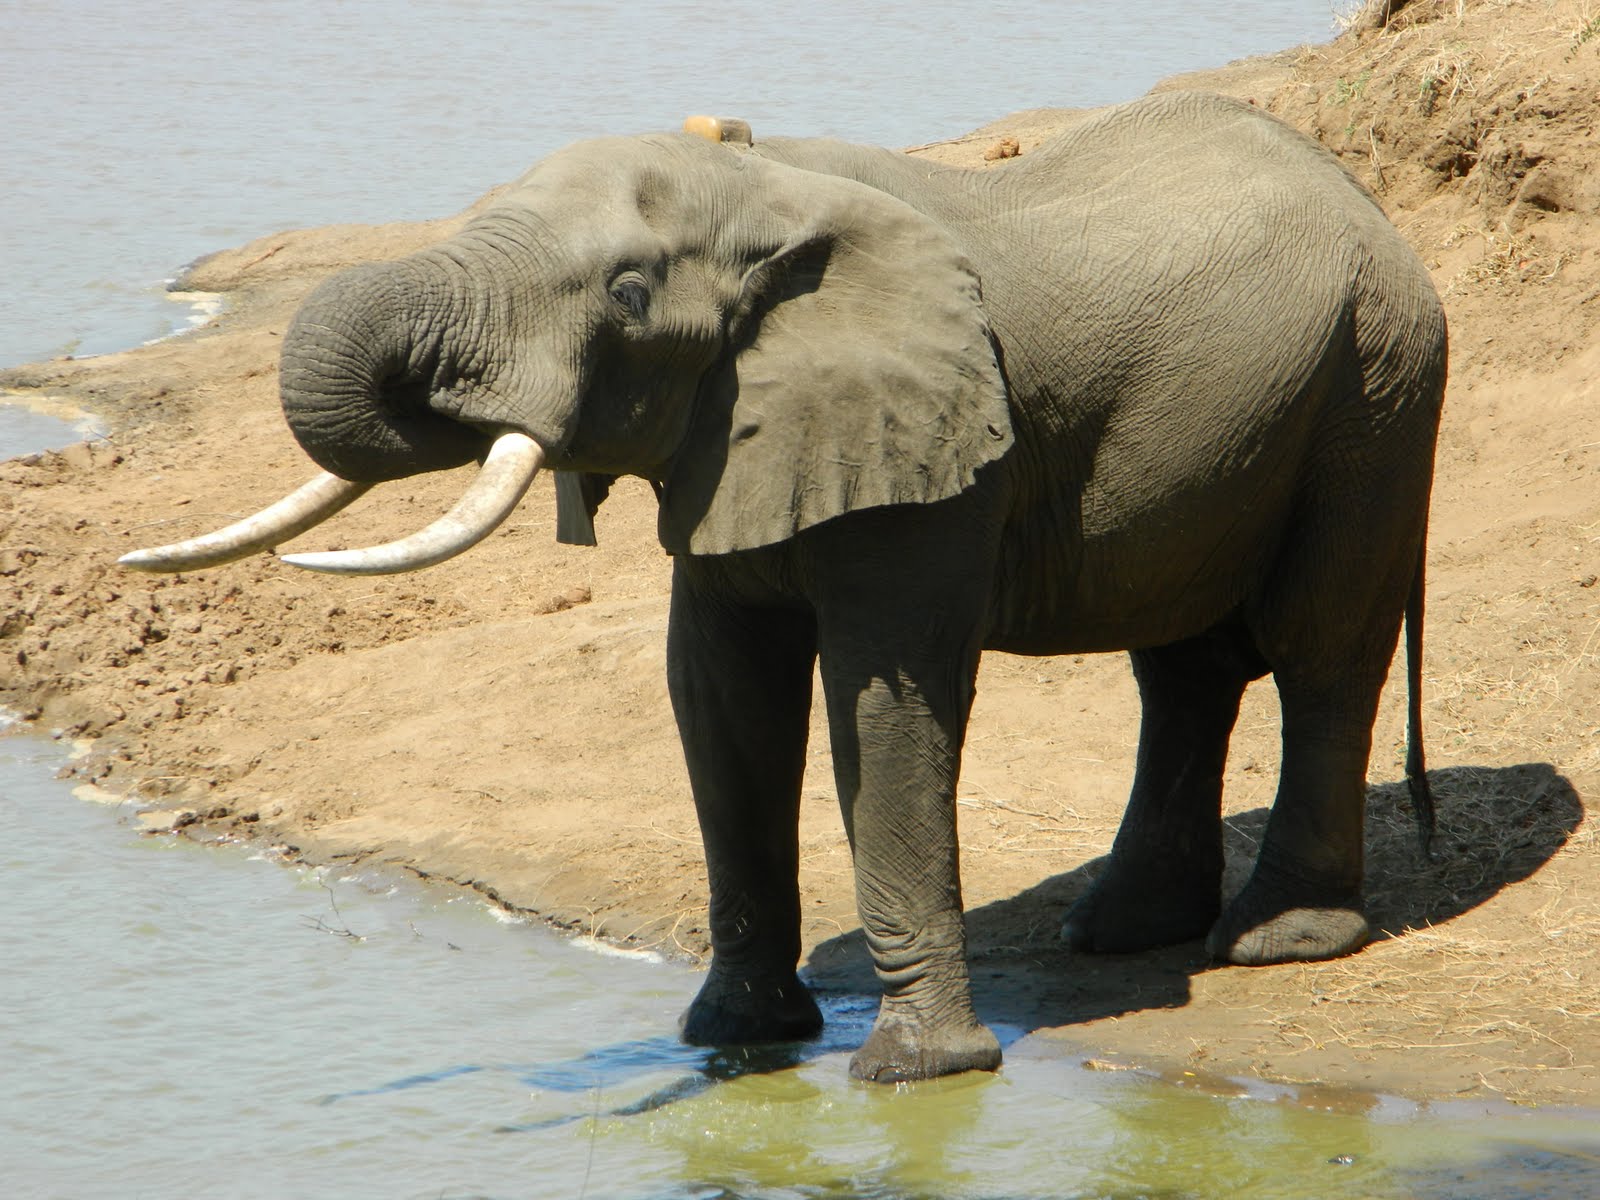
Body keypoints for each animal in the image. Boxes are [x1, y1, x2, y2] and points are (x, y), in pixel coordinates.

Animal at [124, 91, 1448, 1083]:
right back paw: (1122, 928)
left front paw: (914, 1076)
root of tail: (1371, 207)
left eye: (626, 297)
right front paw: (731, 1045)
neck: (762, 192)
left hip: (1373, 388)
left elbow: (883, 695)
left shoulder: (938, 445)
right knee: (1179, 662)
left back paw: (1278, 941)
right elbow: (719, 692)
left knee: (1319, 646)